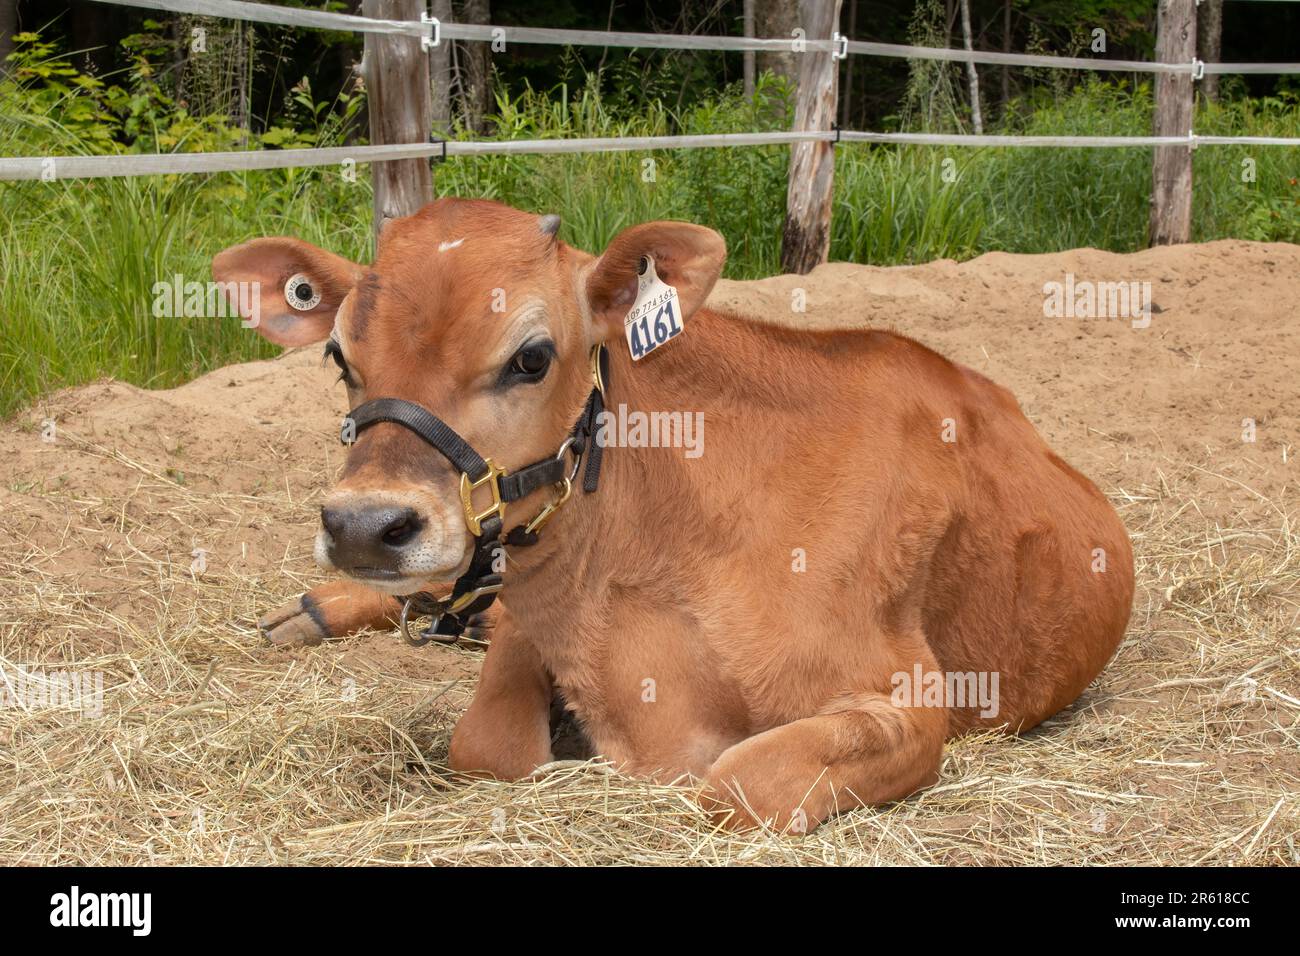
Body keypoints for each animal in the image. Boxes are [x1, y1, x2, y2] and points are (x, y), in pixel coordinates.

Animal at [213, 198, 1134, 832]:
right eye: (340, 355)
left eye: (532, 356)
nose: (364, 526)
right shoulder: (534, 612)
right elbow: (486, 743)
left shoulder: (907, 696)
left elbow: (735, 784)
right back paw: (315, 610)